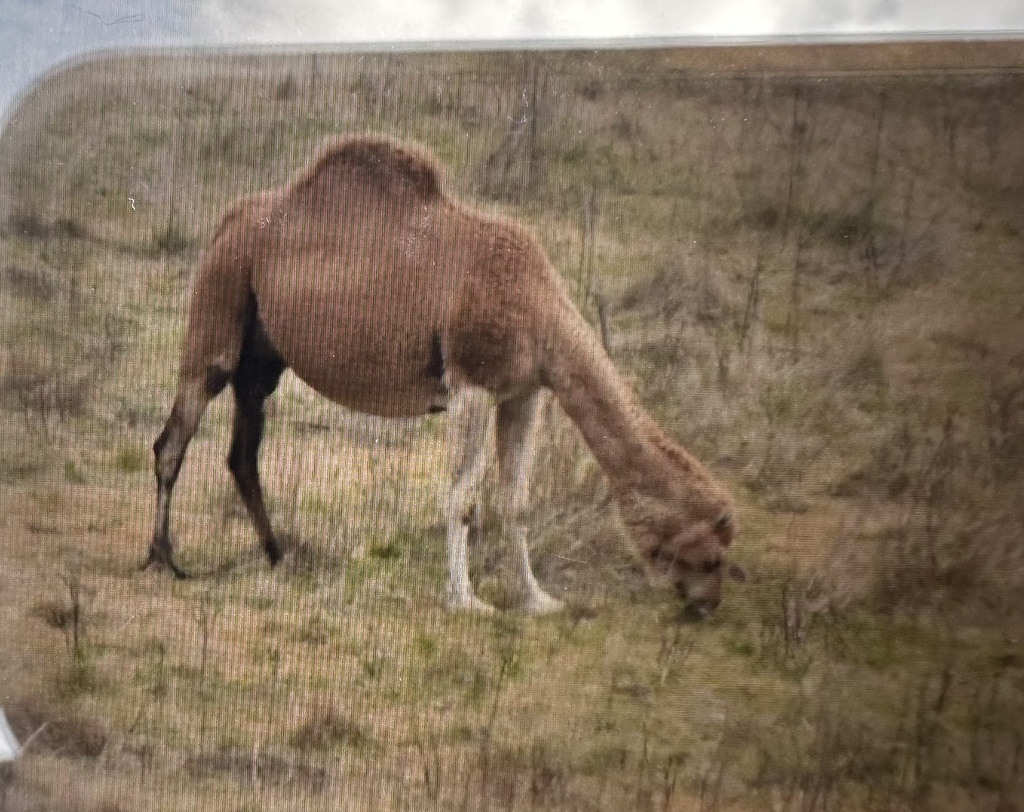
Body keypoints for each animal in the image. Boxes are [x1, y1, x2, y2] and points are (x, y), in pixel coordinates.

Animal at [145, 136, 740, 616]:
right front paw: (466, 600)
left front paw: (537, 600)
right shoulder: (469, 383)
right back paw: (163, 560)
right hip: (222, 296)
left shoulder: (524, 391)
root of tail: (228, 220)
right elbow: (461, 498)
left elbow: (516, 500)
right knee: (176, 433)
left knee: (242, 452)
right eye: (713, 556)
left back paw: (277, 554)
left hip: (263, 355)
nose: (709, 605)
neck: (540, 306)